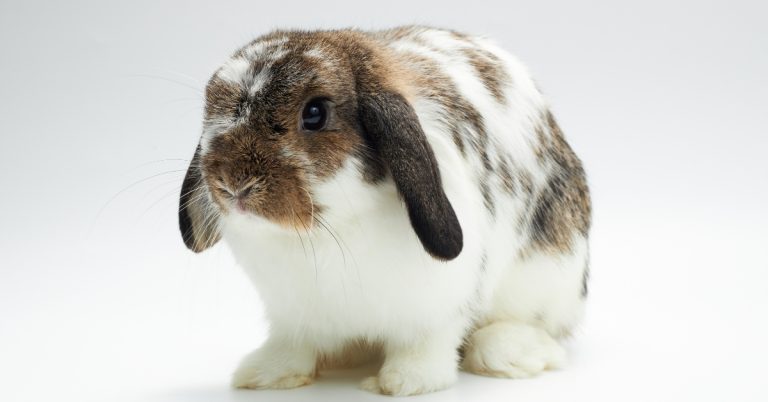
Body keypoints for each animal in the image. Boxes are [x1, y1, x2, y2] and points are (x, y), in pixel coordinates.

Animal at [178, 25, 591, 396]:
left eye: (314, 113)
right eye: (212, 109)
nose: (234, 185)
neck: (330, 230)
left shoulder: (437, 310)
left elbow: (425, 343)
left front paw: (406, 380)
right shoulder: (293, 316)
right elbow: (293, 345)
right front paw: (266, 373)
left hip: (546, 276)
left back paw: (509, 351)